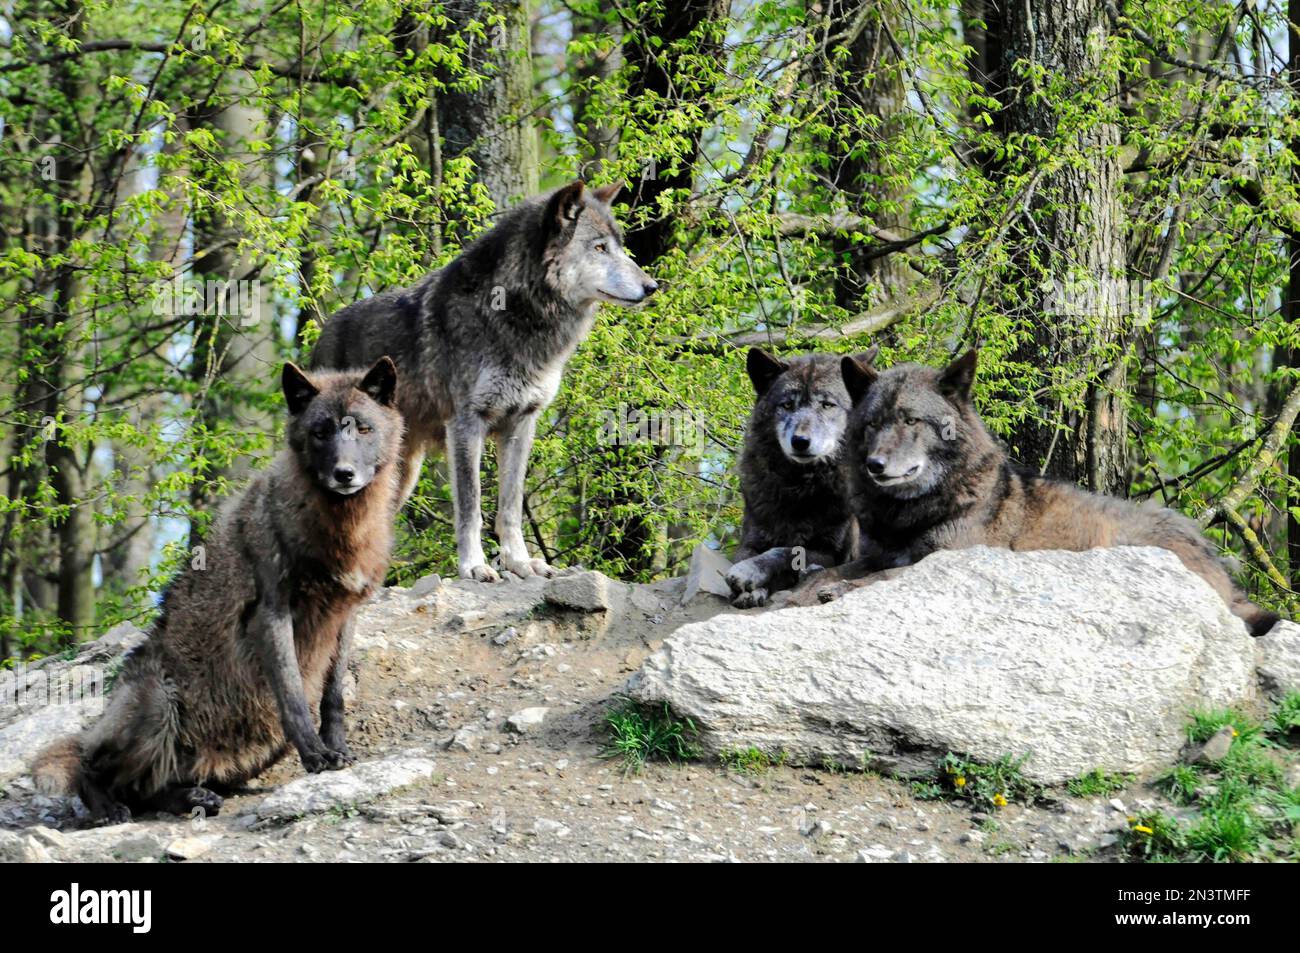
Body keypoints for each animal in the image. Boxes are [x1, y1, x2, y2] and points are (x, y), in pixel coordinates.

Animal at [31, 358, 404, 819]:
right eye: (321, 432)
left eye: (364, 429)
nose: (344, 473)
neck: (339, 529)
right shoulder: (272, 612)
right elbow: (294, 697)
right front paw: (317, 755)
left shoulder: (348, 612)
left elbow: (332, 698)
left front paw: (337, 748)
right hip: (158, 703)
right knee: (90, 765)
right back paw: (108, 807)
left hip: (258, 745)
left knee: (148, 788)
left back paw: (194, 796)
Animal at [310, 181, 657, 582]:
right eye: (600, 247)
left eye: (620, 245)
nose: (652, 286)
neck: (520, 316)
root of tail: (323, 333)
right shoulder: (466, 424)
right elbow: (471, 506)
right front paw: (474, 565)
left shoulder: (522, 423)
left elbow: (510, 508)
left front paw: (520, 562)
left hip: (401, 475)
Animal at [724, 347, 876, 607]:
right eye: (787, 405)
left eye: (827, 405)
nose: (800, 441)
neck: (799, 487)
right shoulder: (751, 539)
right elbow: (749, 554)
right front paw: (751, 587)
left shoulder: (833, 552)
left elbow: (786, 551)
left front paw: (750, 572)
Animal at [789, 349, 1280, 636]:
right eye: (872, 424)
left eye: (910, 420)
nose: (874, 465)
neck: (916, 511)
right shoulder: (879, 552)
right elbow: (827, 572)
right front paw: (798, 591)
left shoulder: (941, 560)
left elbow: (877, 579)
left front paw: (834, 591)